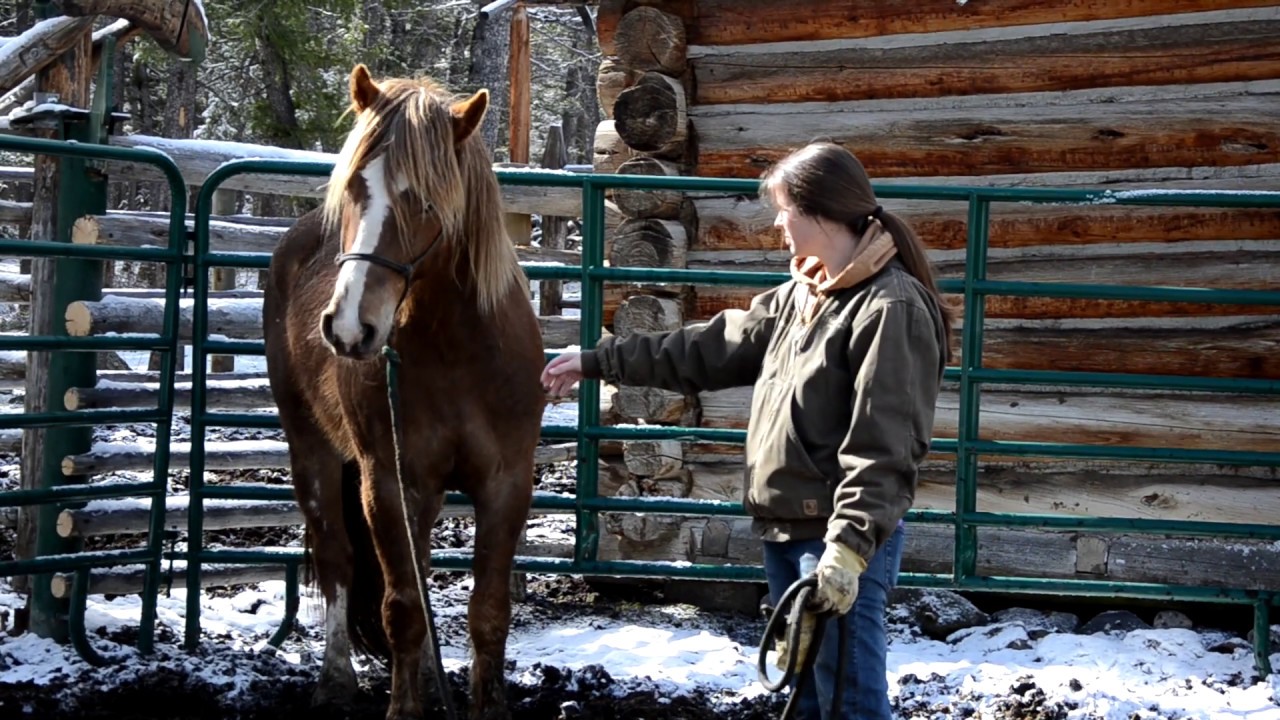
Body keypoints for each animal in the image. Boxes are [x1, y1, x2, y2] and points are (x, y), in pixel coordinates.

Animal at [262, 64, 546, 720]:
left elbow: (488, 610)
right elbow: (403, 609)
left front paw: (488, 705)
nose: (349, 327)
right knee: (337, 557)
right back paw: (335, 679)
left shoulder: (507, 482)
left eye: (425, 199)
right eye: (353, 189)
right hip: (309, 447)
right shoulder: (389, 481)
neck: (458, 352)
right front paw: (403, 706)